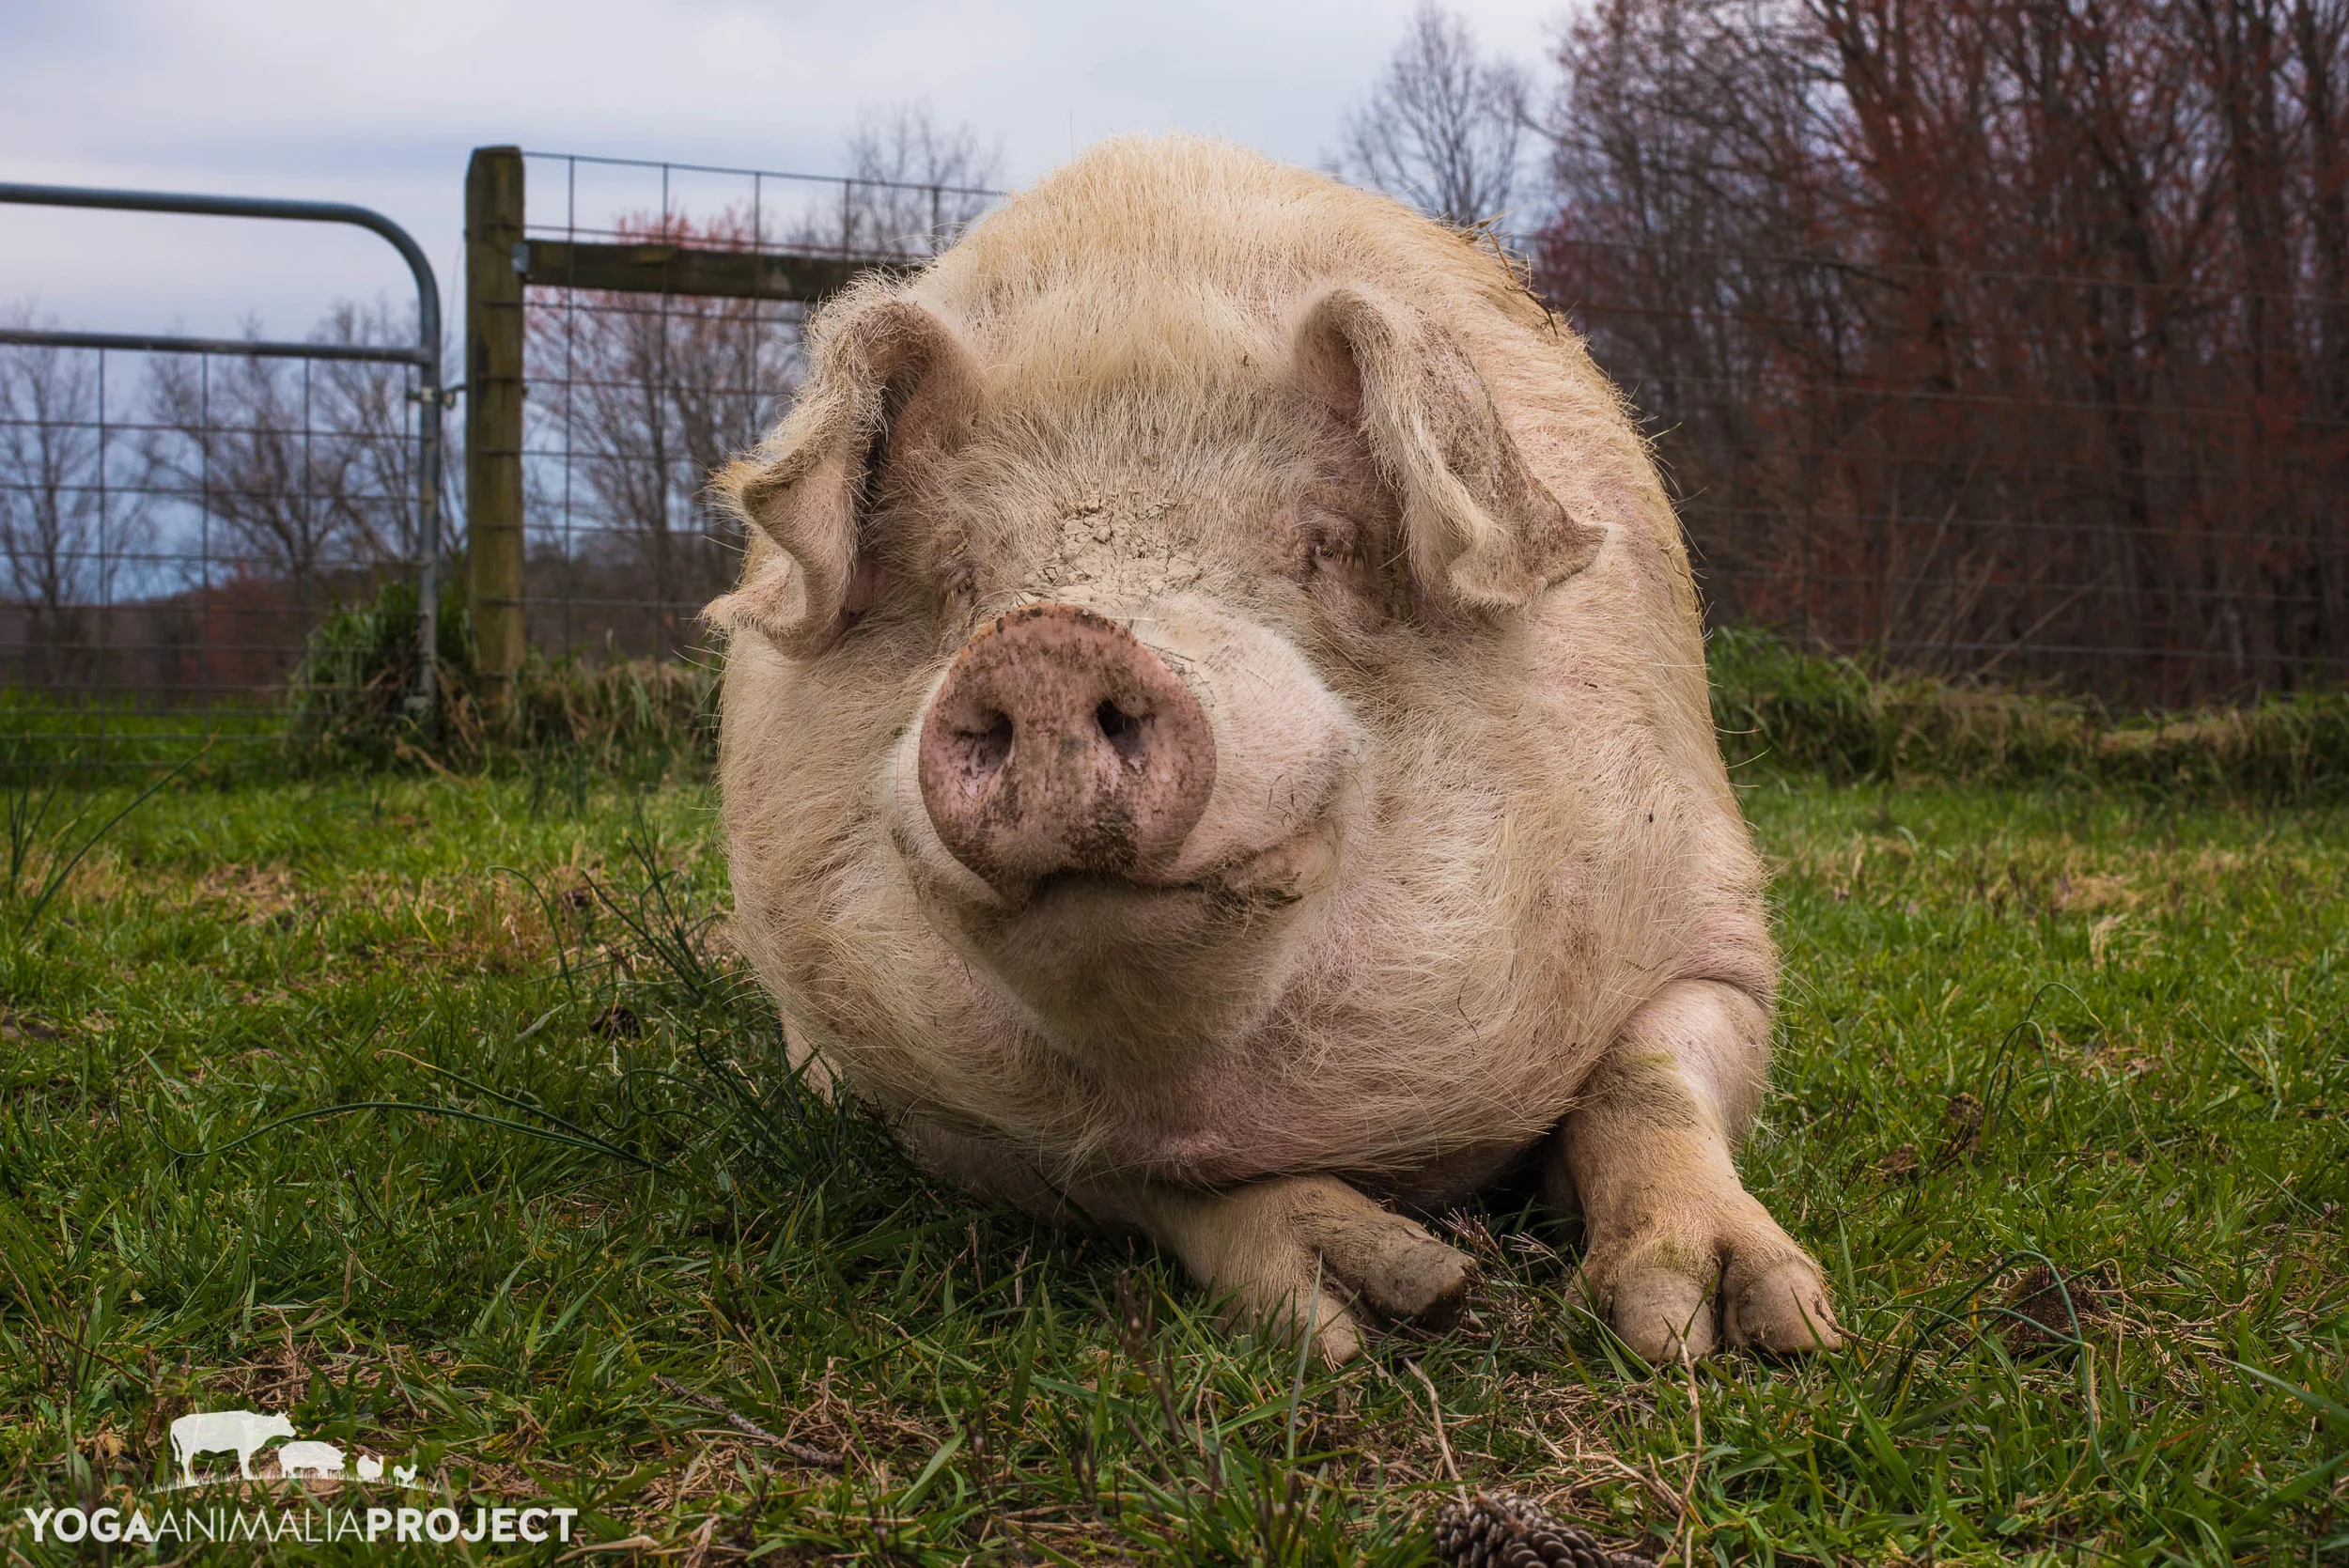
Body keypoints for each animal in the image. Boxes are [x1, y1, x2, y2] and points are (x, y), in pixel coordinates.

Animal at [709, 135, 1840, 1366]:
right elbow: (1140, 1179)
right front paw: (1376, 1314)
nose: (1049, 646)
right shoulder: (894, 1091)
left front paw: (1724, 1334)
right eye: (960, 577)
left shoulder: (1710, 921)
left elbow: (1648, 1074)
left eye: (1323, 545)